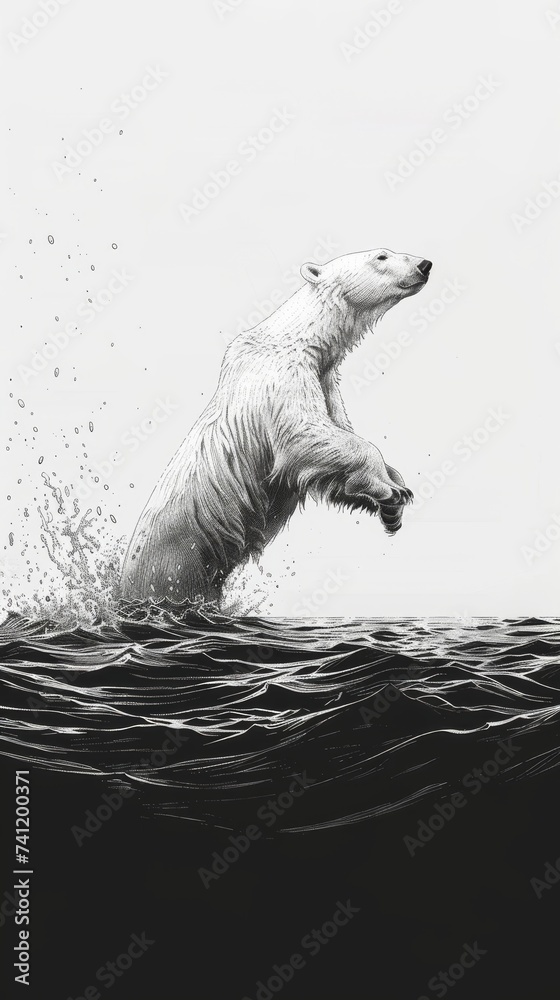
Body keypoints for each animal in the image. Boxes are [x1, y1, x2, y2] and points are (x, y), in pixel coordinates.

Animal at [120, 247, 432, 605]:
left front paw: (394, 503)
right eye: (381, 256)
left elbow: (336, 450)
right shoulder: (283, 379)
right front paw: (390, 487)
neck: (298, 337)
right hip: (178, 558)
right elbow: (306, 437)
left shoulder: (324, 379)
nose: (425, 264)